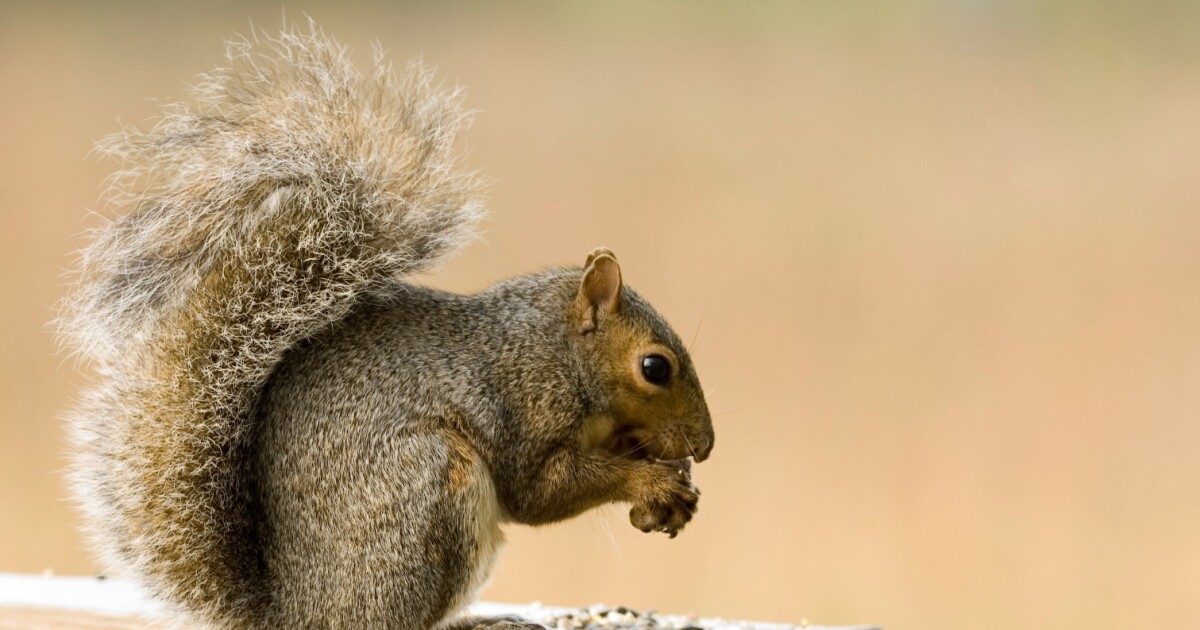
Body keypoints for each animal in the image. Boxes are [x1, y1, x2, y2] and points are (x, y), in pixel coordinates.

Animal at [58, 23, 714, 630]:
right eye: (654, 367)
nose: (704, 447)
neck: (556, 351)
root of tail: (297, 614)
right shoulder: (522, 408)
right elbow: (539, 492)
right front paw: (650, 482)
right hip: (428, 493)